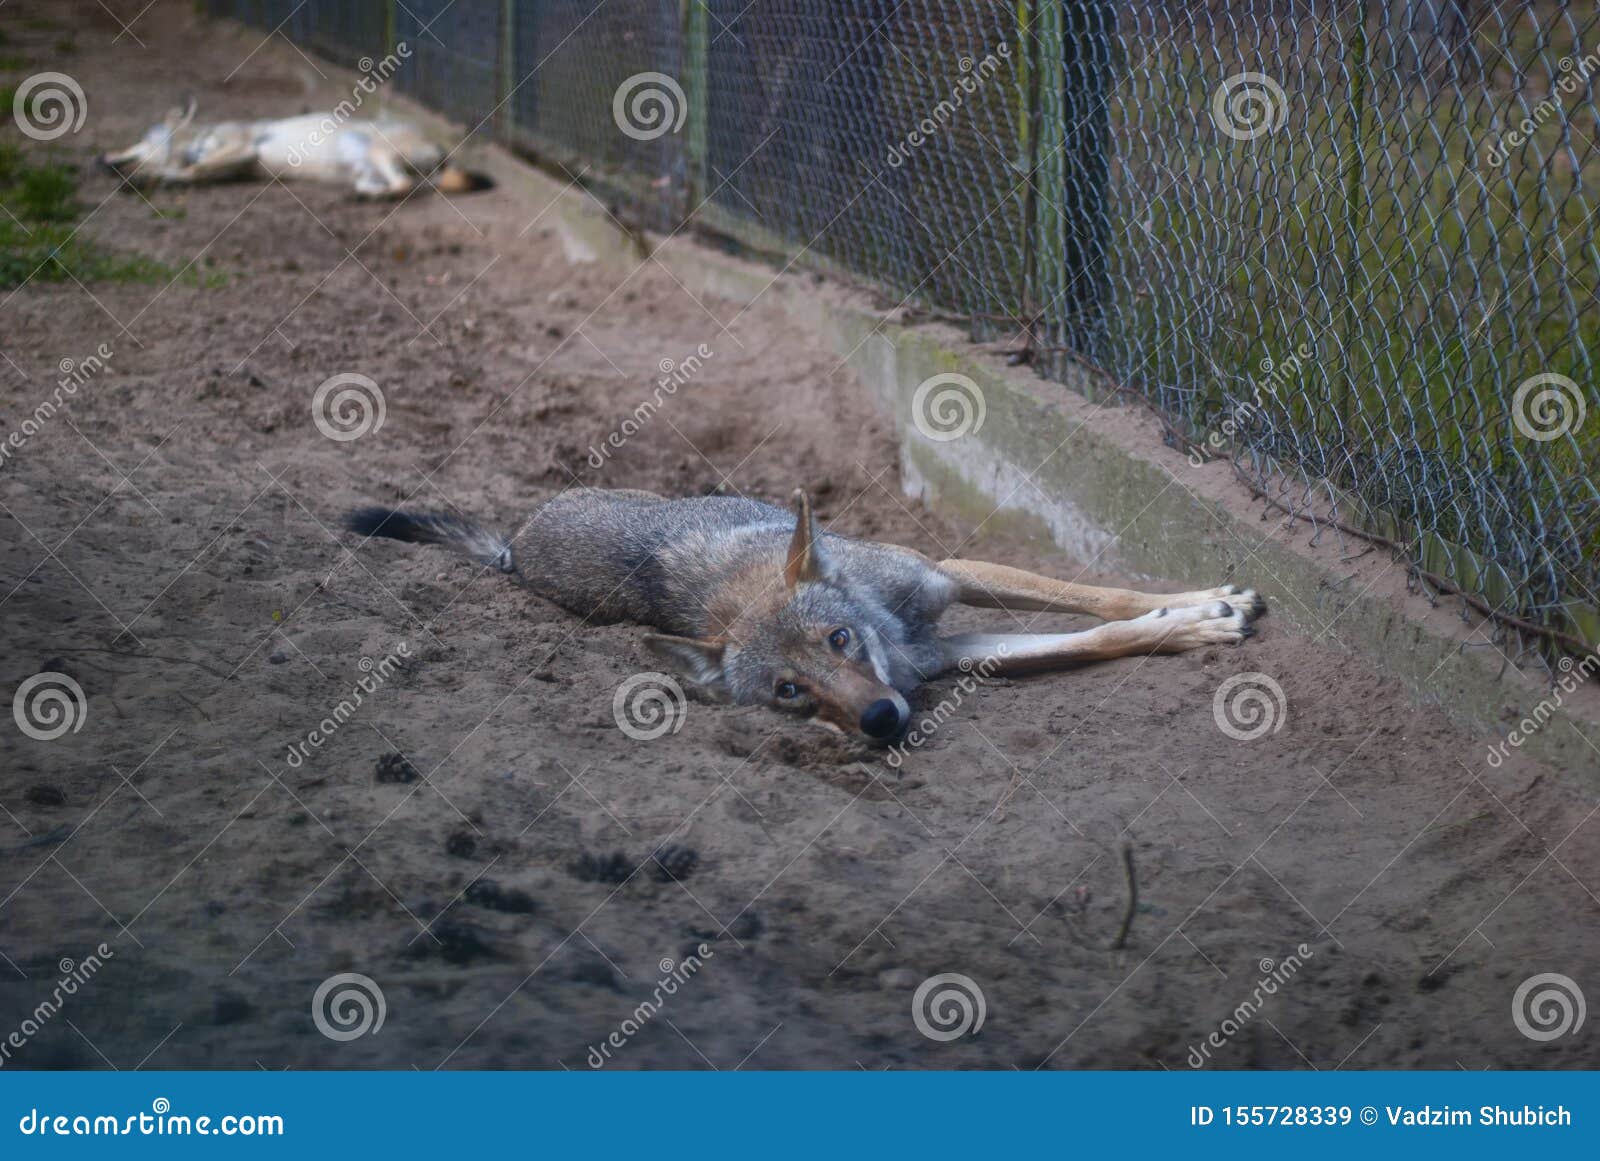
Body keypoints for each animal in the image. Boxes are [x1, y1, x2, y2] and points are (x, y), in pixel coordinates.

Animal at [98, 99, 490, 198]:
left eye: (140, 137)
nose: (100, 157)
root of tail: (445, 153)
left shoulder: (244, 149)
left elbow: (191, 168)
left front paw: (143, 176)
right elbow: (186, 173)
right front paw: (147, 179)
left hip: (379, 151)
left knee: (405, 186)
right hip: (367, 166)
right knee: (400, 186)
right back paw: (361, 197)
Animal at [346, 488, 1265, 742]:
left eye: (840, 639)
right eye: (790, 691)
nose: (884, 720)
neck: (893, 637)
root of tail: (517, 540)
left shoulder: (950, 579)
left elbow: (1100, 600)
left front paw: (1210, 606)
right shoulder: (951, 650)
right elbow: (1100, 635)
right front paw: (1199, 622)